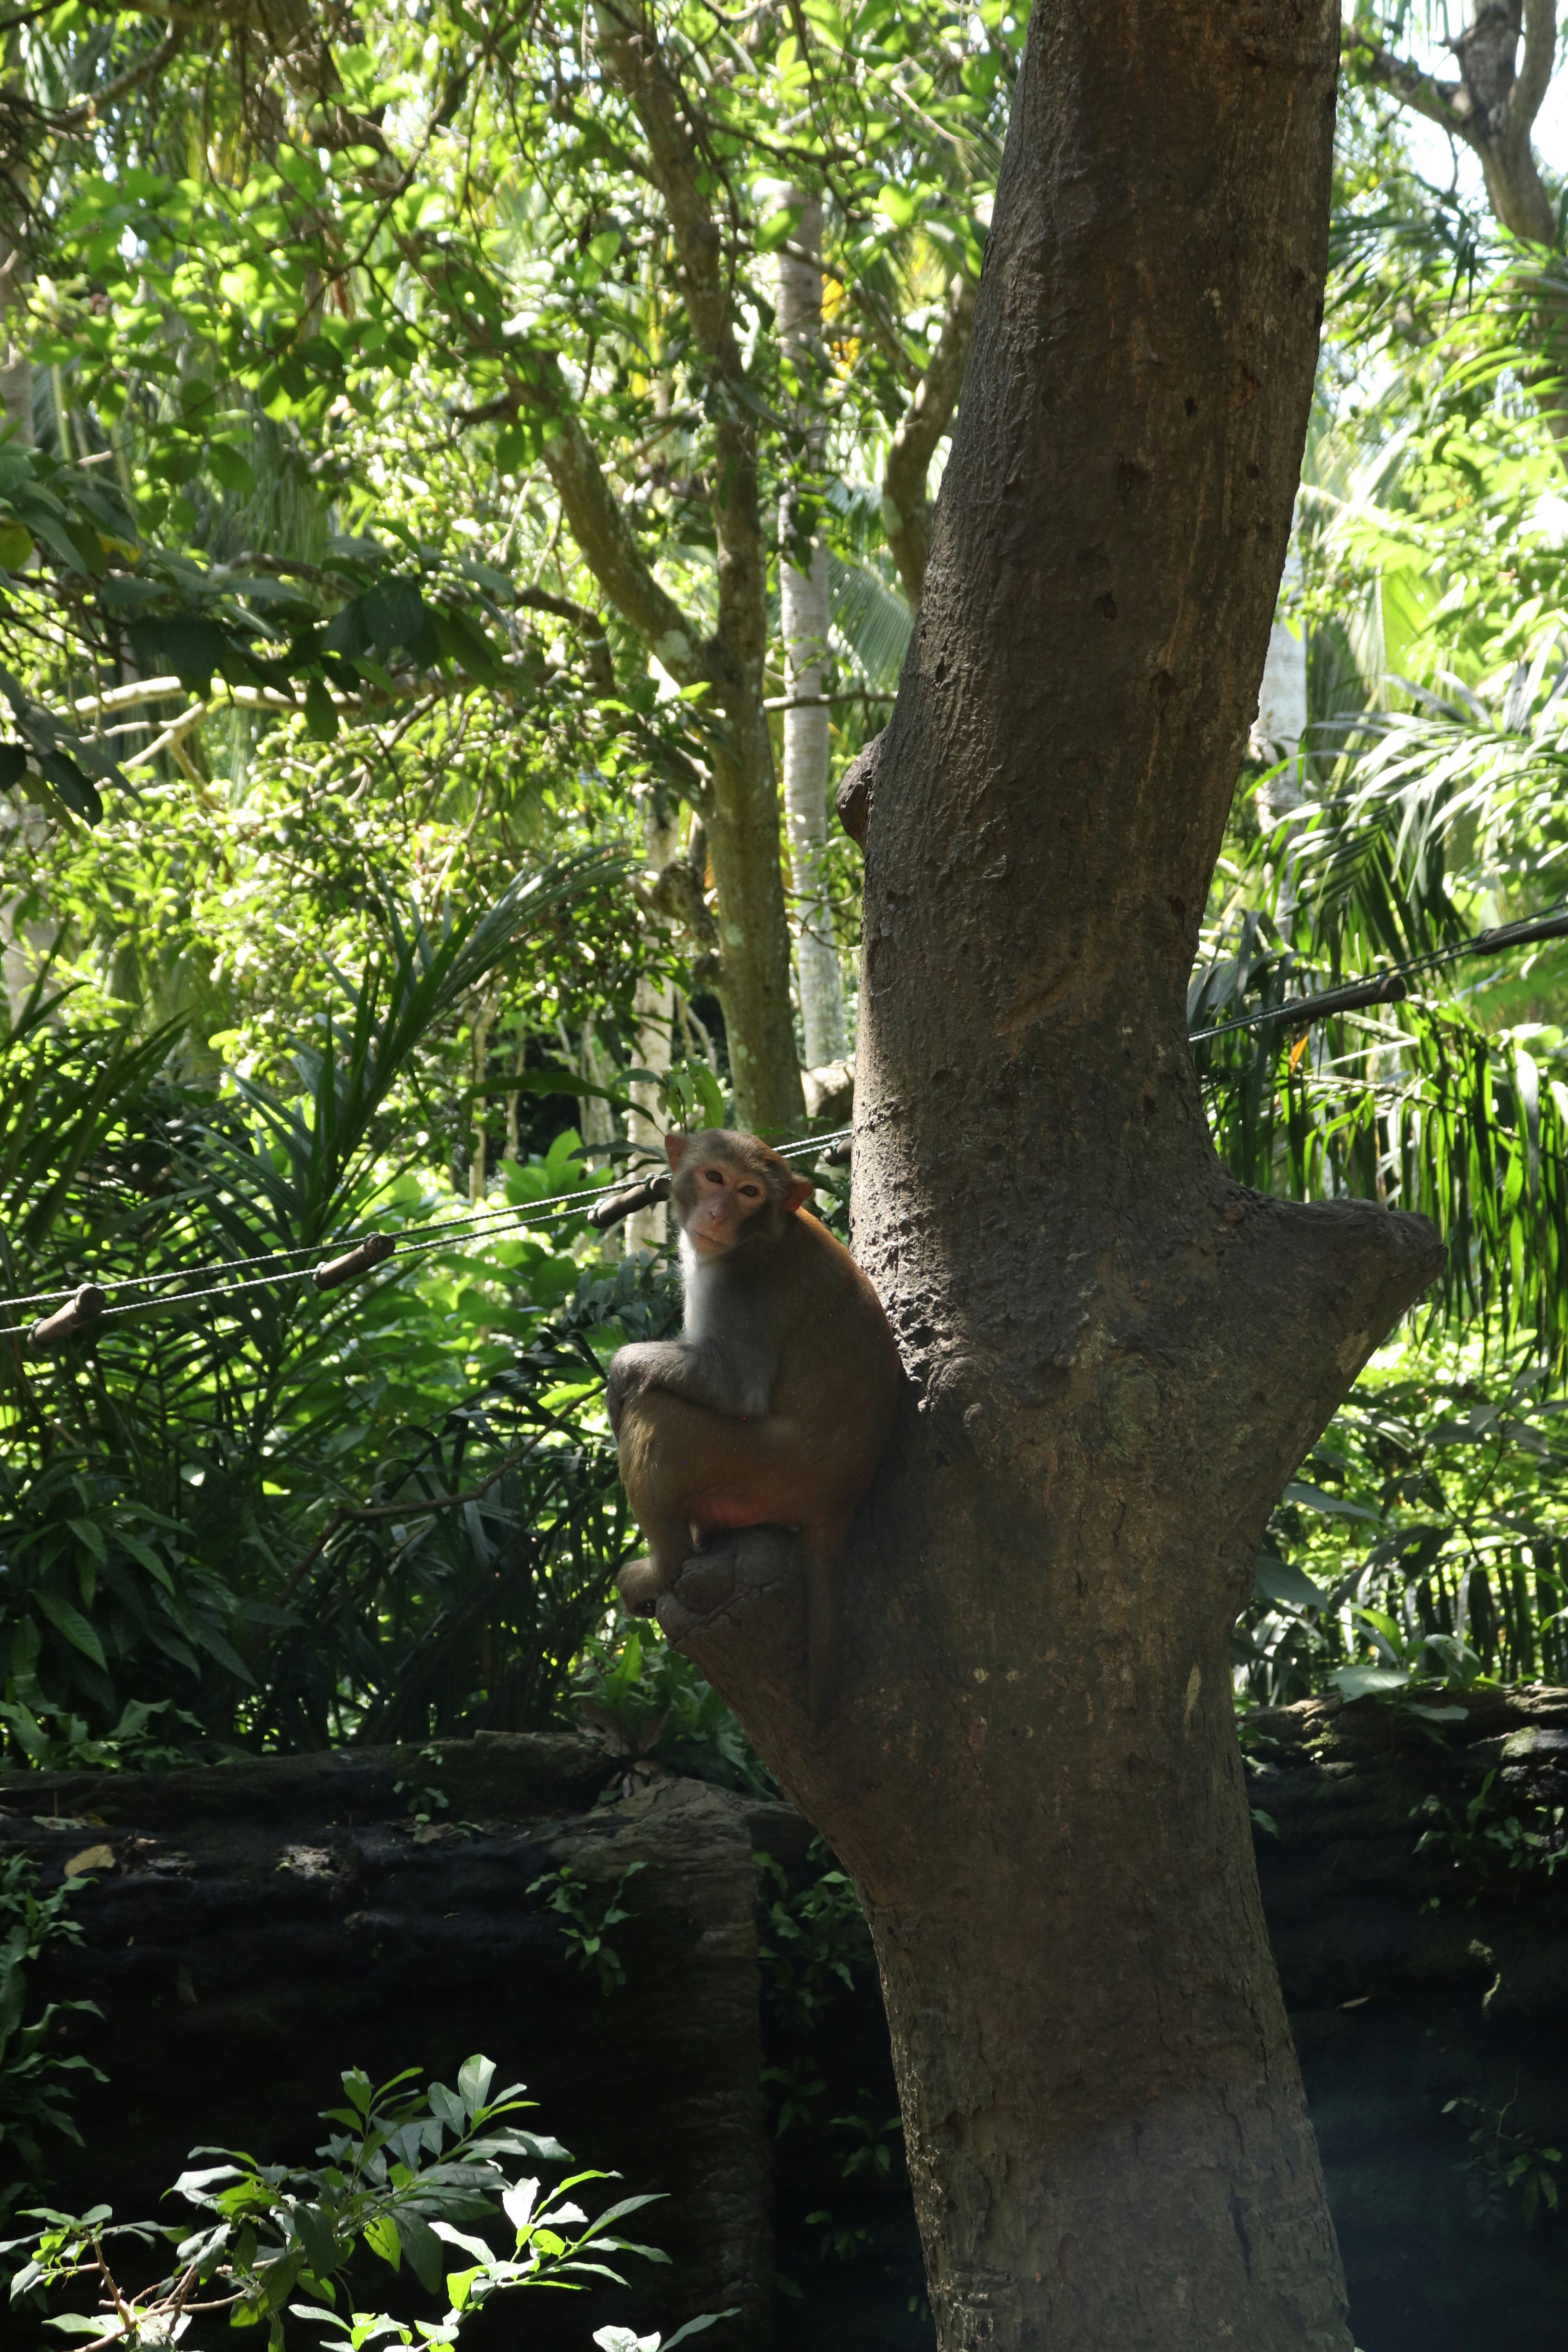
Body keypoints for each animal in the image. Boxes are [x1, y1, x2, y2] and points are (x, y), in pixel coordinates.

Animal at [606, 1127, 901, 1720]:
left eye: (748, 1192)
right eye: (714, 1177)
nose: (718, 1212)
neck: (761, 1236)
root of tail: (840, 1503)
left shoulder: (742, 1286)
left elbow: (732, 1385)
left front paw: (621, 1372)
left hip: (761, 1472)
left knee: (658, 1416)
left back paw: (662, 1567)